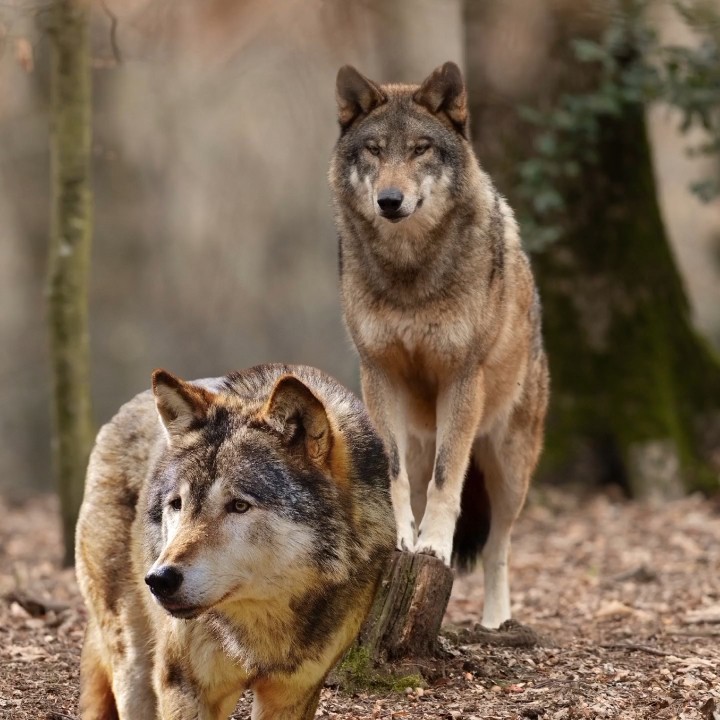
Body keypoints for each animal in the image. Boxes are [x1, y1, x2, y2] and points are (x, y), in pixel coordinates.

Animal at [75, 364, 394, 720]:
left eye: (239, 506)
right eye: (177, 504)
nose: (159, 580)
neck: (260, 627)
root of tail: (121, 412)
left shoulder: (294, 694)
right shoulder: (184, 688)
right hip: (134, 665)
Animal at [329, 61, 549, 629]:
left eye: (421, 149)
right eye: (375, 150)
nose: (390, 200)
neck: (410, 272)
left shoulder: (461, 377)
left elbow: (448, 483)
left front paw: (432, 546)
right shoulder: (377, 373)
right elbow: (395, 475)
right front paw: (406, 539)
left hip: (508, 468)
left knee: (498, 548)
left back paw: (496, 622)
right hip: (422, 438)